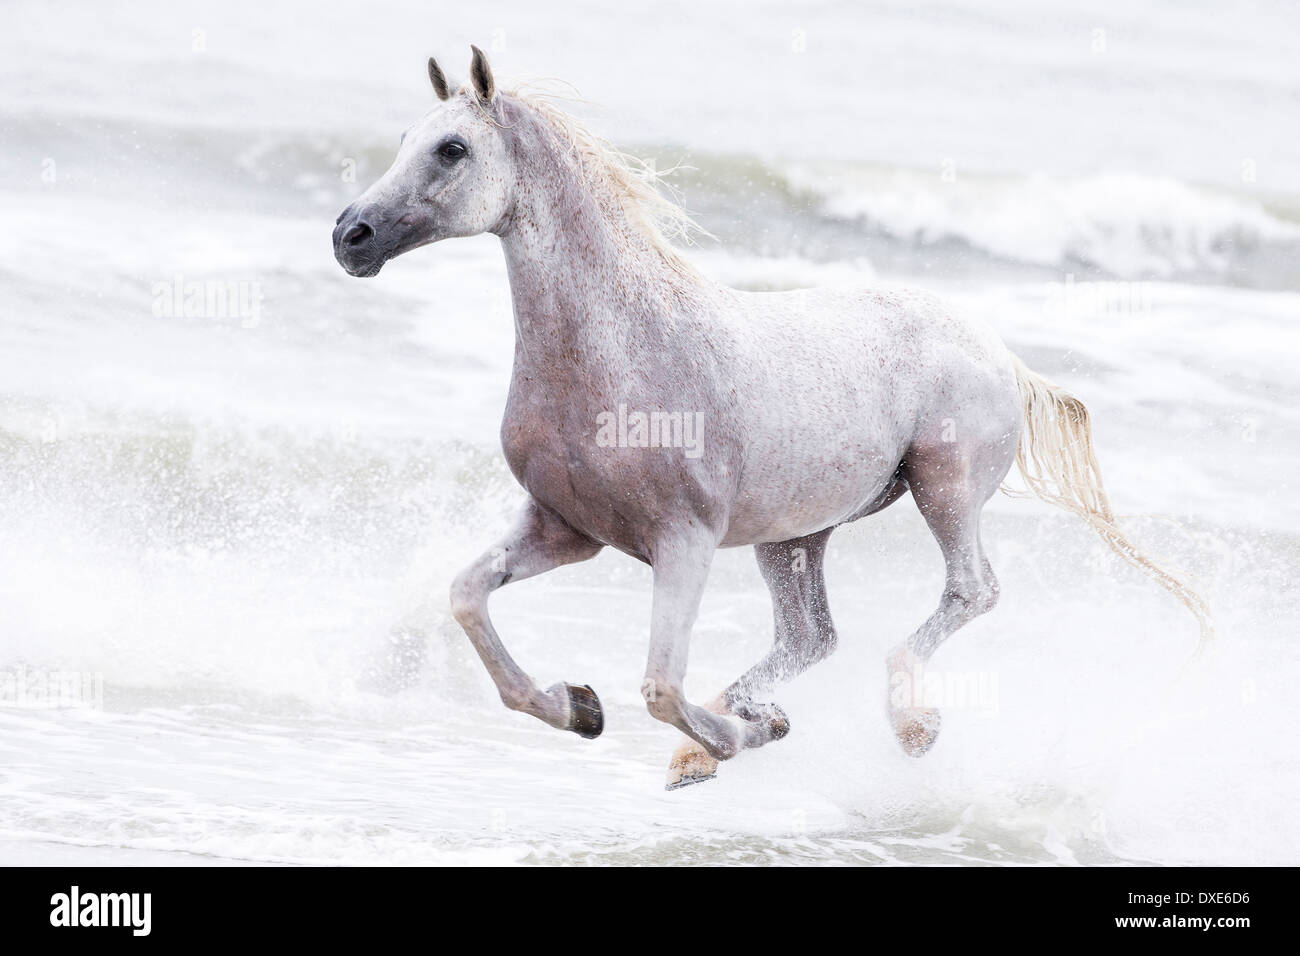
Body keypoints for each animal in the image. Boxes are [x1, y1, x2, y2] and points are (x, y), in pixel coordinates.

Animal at [333, 47, 1212, 789]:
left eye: (452, 149)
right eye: (408, 137)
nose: (351, 236)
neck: (623, 351)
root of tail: (1001, 354)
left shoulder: (681, 544)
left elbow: (659, 686)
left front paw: (730, 739)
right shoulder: (566, 529)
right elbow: (467, 600)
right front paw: (581, 709)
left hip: (943, 488)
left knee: (971, 592)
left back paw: (903, 724)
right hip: (795, 538)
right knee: (811, 637)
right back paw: (734, 727)